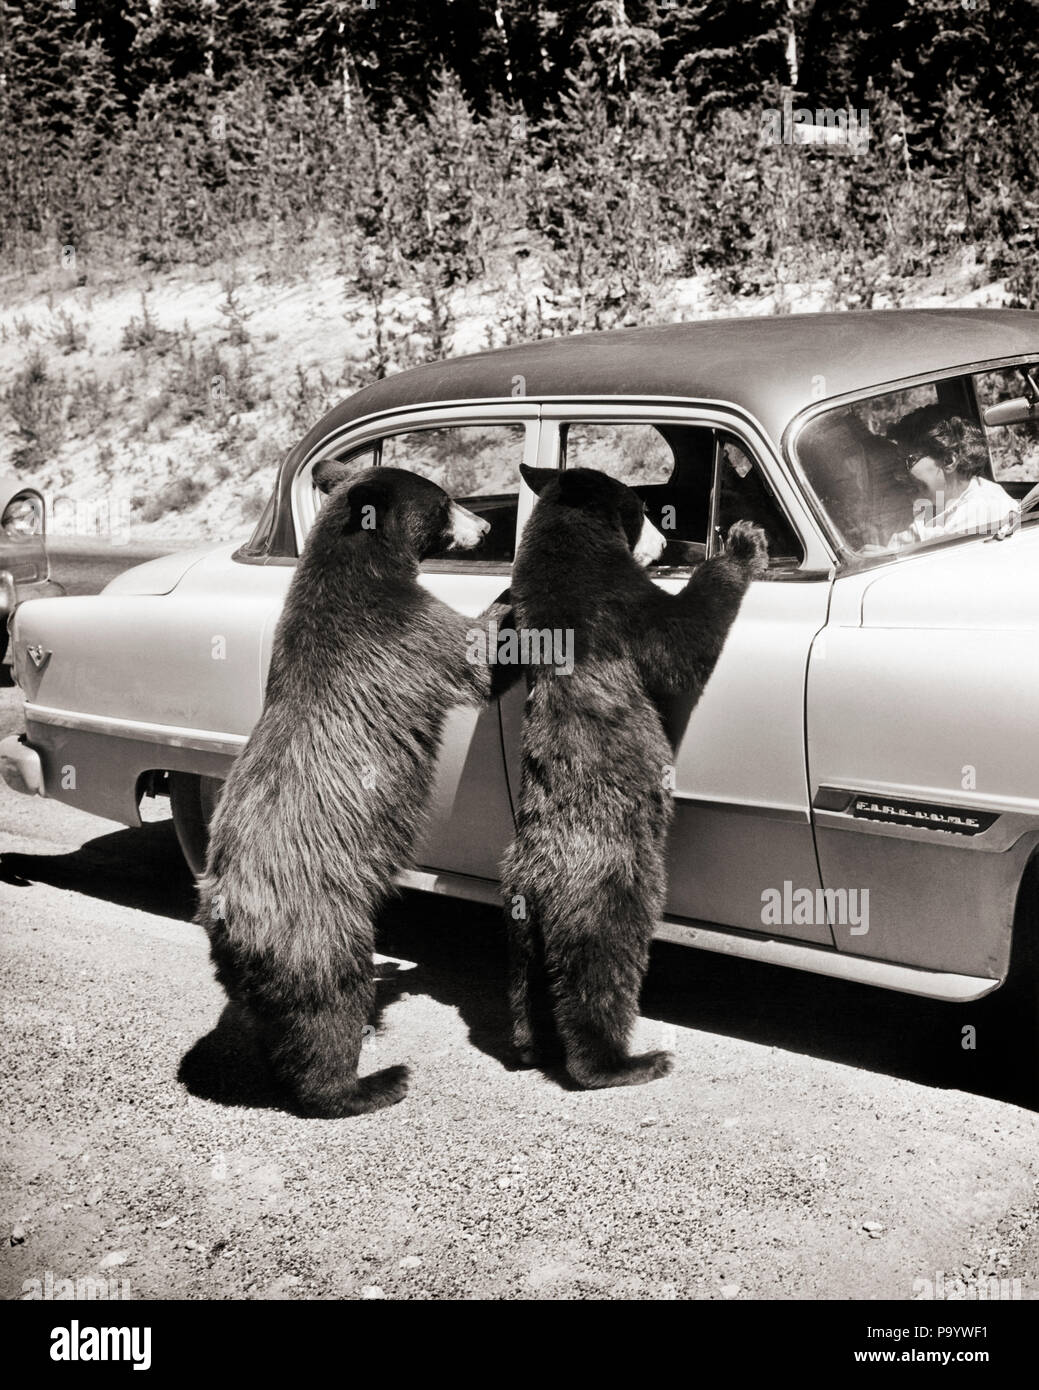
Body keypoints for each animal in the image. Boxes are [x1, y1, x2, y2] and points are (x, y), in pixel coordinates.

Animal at [197, 465, 511, 1117]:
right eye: (445, 501)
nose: (488, 526)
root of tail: (225, 913)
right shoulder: (404, 629)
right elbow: (475, 657)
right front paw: (511, 599)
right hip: (321, 928)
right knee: (330, 1006)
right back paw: (370, 1082)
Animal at [500, 463, 769, 1090]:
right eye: (643, 508)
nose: (665, 542)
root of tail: (538, 885)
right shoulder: (614, 603)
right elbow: (679, 642)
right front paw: (743, 542)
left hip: (518, 922)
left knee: (526, 985)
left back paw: (529, 1046)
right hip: (610, 894)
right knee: (601, 972)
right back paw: (627, 1061)